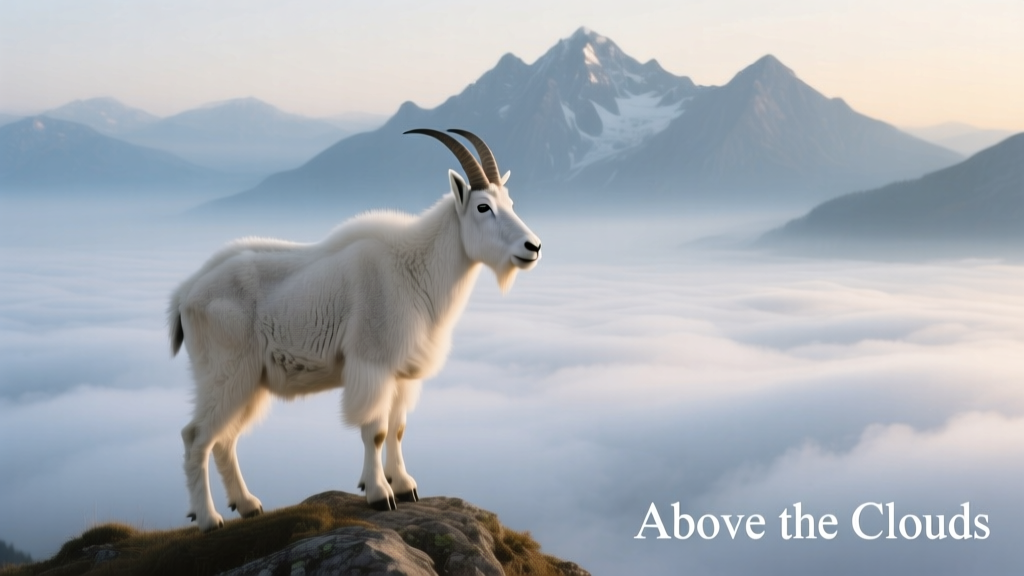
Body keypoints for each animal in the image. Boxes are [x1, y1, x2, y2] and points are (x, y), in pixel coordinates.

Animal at [168, 129, 542, 531]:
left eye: (510, 201)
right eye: (482, 207)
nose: (532, 247)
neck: (415, 271)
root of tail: (186, 293)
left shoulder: (400, 373)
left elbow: (397, 428)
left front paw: (405, 486)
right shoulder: (371, 364)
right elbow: (375, 431)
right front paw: (380, 494)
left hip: (251, 381)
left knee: (226, 439)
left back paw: (249, 505)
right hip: (225, 372)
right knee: (196, 437)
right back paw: (209, 518)